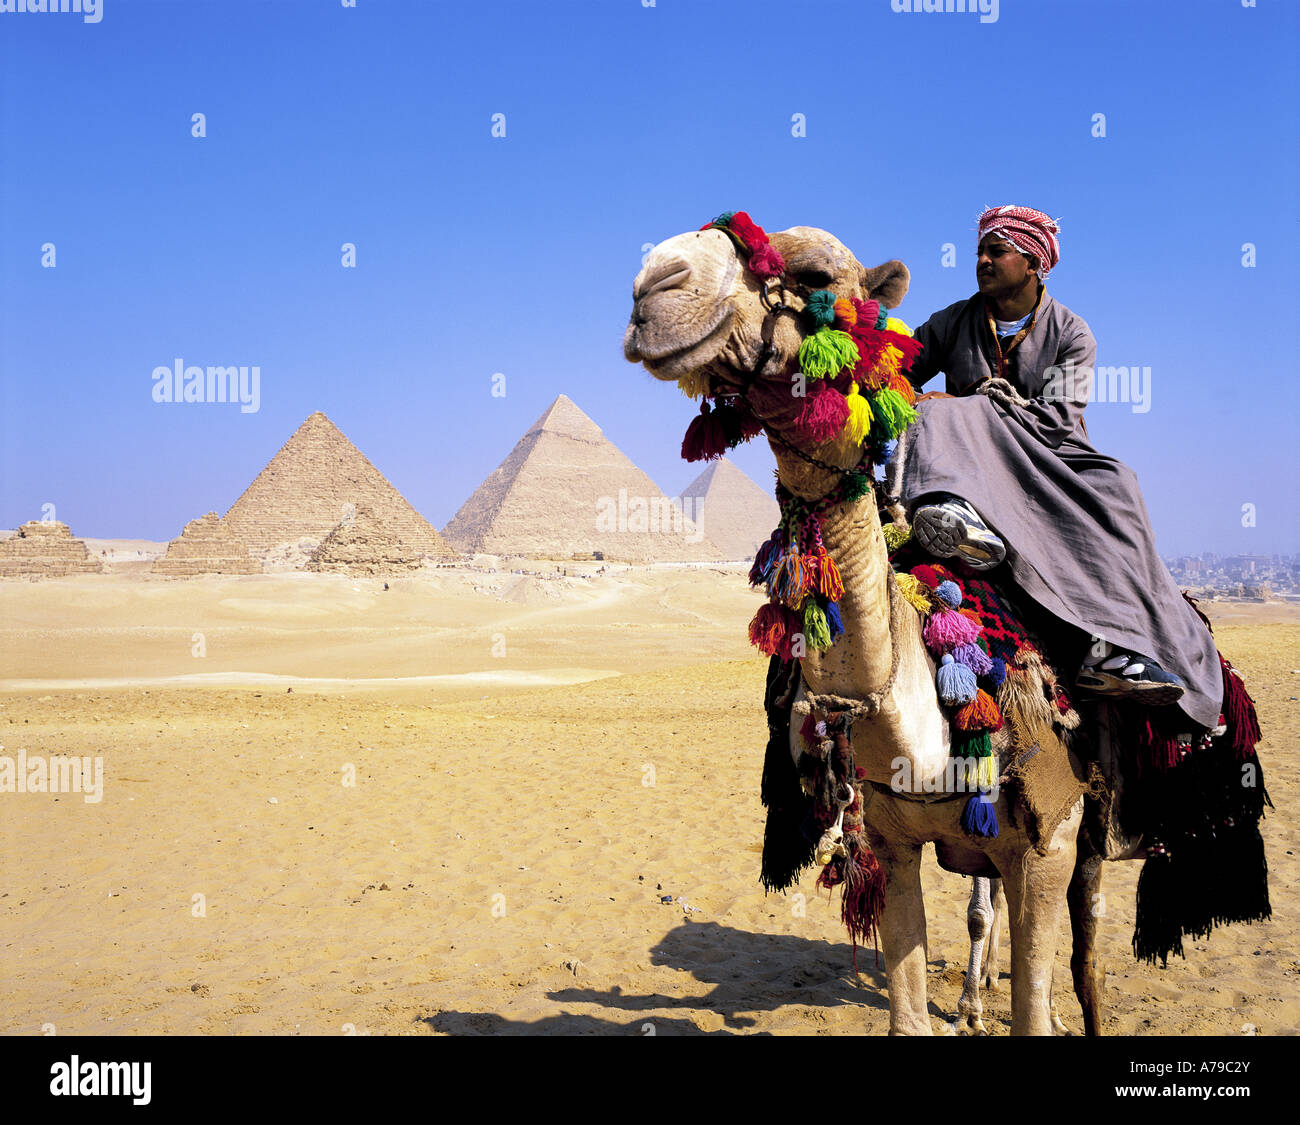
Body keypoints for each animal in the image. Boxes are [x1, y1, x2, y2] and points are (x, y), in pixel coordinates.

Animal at [623, 220, 1090, 1035]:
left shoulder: (1046, 841)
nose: (656, 286)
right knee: (987, 904)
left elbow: (1034, 997)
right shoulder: (893, 843)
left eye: (815, 273)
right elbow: (908, 1008)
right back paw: (973, 996)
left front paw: (1036, 1008)